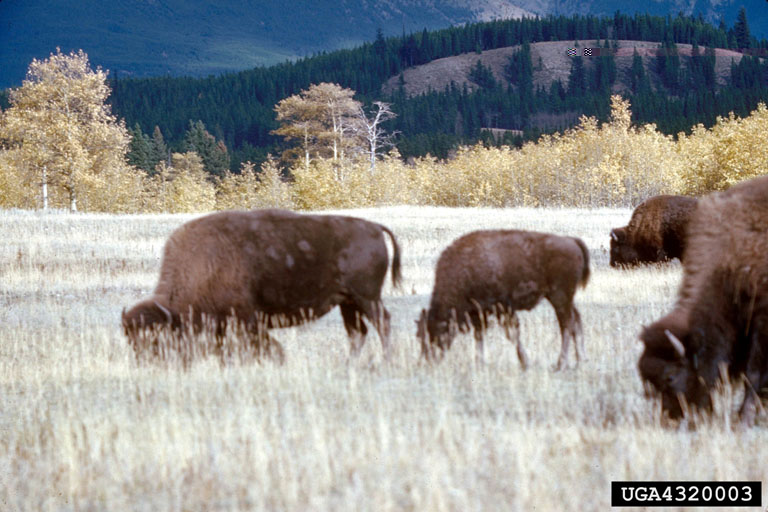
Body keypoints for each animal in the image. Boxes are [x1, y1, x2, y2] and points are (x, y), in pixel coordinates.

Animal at [122, 209, 401, 363]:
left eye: (159, 339)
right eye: (132, 343)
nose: (148, 364)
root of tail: (375, 228)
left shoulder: (246, 319)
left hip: (367, 298)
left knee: (382, 323)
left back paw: (387, 361)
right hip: (347, 303)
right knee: (358, 333)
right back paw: (348, 364)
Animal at [417, 229, 590, 370]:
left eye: (438, 330)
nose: (432, 359)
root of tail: (571, 241)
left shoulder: (503, 308)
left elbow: (512, 334)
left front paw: (525, 362)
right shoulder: (478, 312)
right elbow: (479, 336)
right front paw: (479, 363)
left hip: (559, 297)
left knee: (566, 325)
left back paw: (561, 364)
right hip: (565, 299)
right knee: (576, 320)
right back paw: (580, 360)